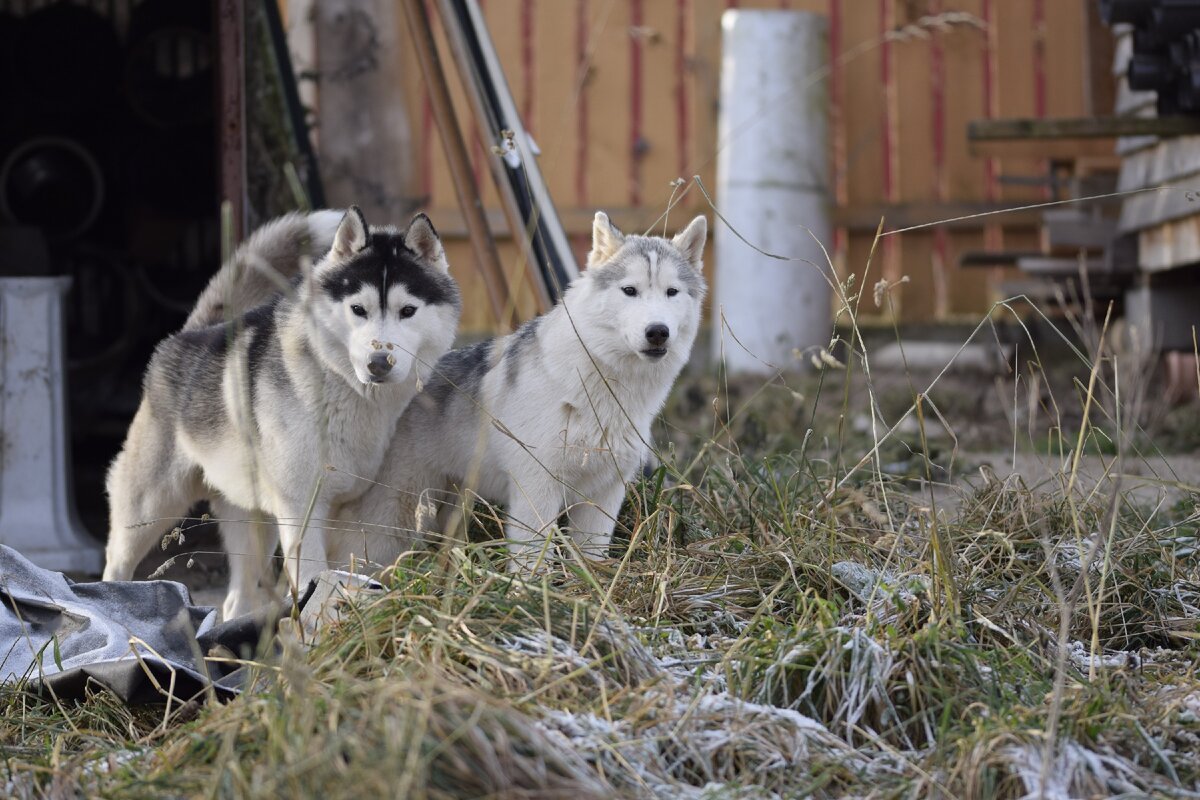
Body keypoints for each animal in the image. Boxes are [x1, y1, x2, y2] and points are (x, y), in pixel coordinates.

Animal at [103, 208, 460, 618]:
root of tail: (190, 335)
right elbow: (314, 576)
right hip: (149, 507)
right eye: (358, 310)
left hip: (253, 518)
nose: (378, 363)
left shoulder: (344, 507)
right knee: (117, 561)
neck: (341, 387)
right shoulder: (301, 508)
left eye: (407, 311)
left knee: (237, 597)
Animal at [333, 212, 705, 573]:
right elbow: (531, 563)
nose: (658, 332)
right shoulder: (537, 492)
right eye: (630, 290)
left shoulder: (604, 495)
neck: (598, 390)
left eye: (672, 292)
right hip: (388, 521)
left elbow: (591, 558)